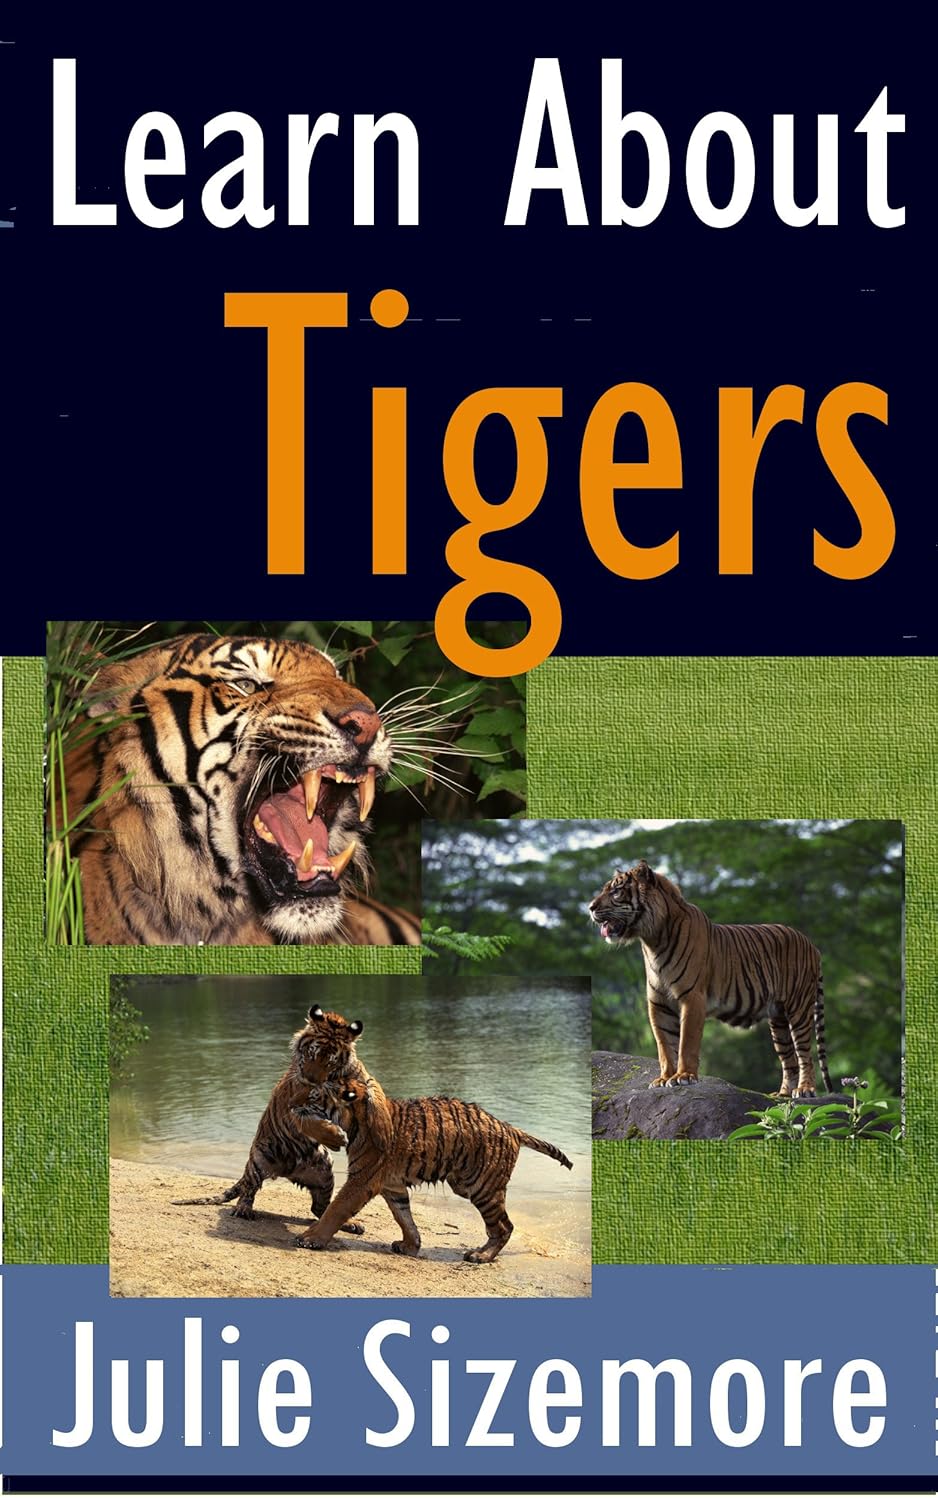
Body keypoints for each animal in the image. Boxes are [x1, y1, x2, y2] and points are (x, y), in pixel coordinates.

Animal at [174, 1005, 373, 1225]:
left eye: (331, 1062)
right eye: (311, 1053)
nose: (310, 1079)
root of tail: (286, 1172)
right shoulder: (295, 1106)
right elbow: (311, 1124)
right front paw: (336, 1137)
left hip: (324, 1172)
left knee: (319, 1209)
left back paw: (349, 1224)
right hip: (258, 1160)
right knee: (248, 1189)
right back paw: (243, 1210)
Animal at [291, 1076, 573, 1262]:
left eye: (314, 1096)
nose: (292, 1103)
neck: (355, 1121)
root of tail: (510, 1127)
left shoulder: (362, 1180)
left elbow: (336, 1209)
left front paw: (310, 1238)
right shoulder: (392, 1185)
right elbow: (403, 1217)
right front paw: (410, 1245)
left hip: (482, 1188)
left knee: (505, 1227)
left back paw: (481, 1255)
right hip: (468, 1185)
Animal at [589, 860, 833, 1097]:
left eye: (616, 891)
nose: (590, 907)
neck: (653, 940)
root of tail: (812, 945)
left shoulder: (692, 998)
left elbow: (686, 1042)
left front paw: (683, 1076)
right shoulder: (658, 1004)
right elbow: (664, 1046)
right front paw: (663, 1079)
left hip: (798, 1008)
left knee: (804, 1054)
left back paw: (804, 1090)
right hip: (778, 1018)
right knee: (788, 1058)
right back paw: (782, 1095)